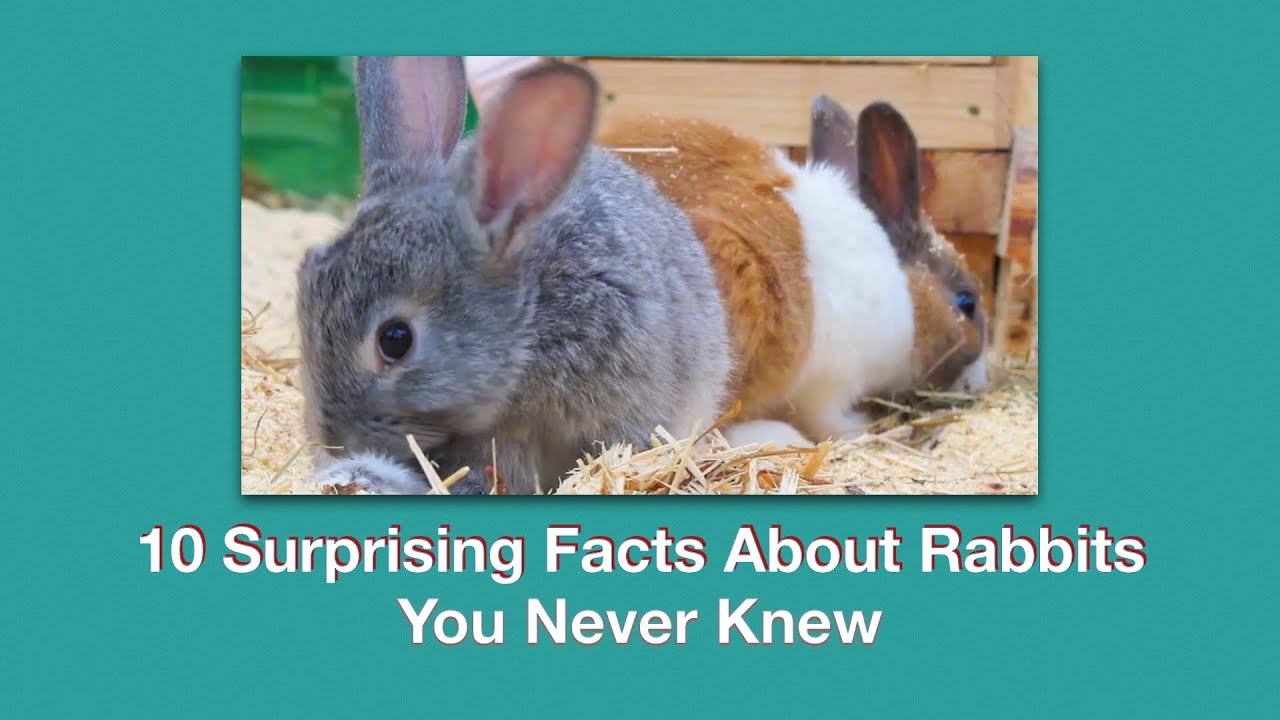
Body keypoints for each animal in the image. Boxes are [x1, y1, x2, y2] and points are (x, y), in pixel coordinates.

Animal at [599, 96, 988, 445]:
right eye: (966, 302)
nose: (981, 382)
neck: (904, 289)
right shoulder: (832, 384)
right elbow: (830, 420)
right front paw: (858, 429)